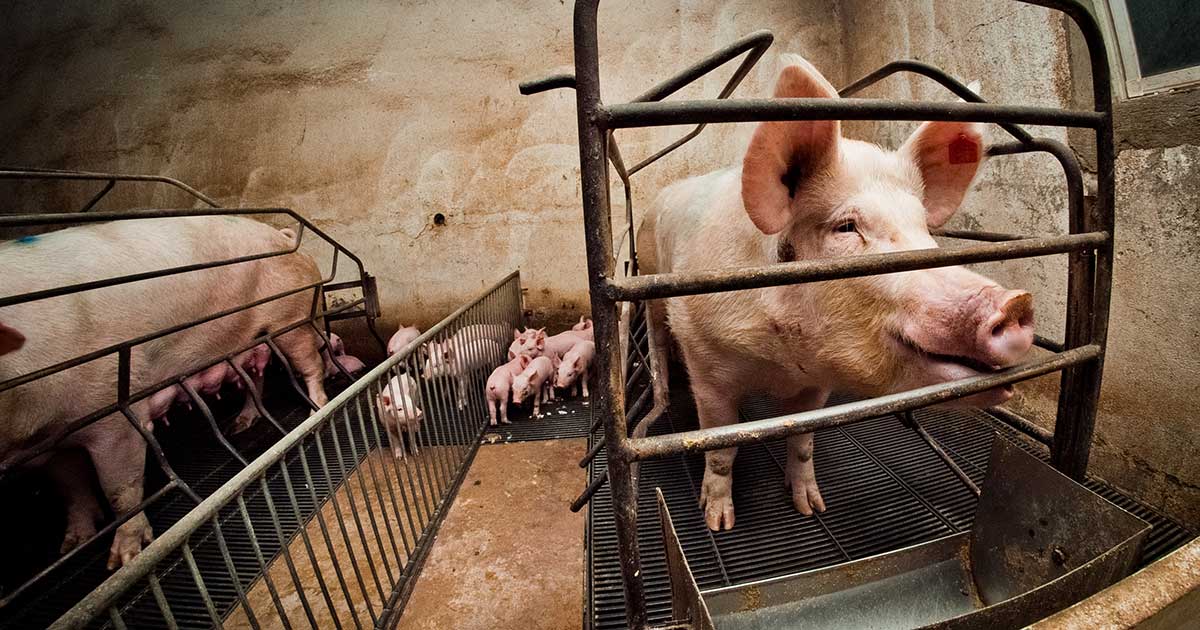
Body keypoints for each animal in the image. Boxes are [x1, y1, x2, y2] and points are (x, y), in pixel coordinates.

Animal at [0, 216, 330, 568]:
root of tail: (283, 235)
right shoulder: (53, 442)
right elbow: (72, 487)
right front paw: (74, 545)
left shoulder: (113, 412)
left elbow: (121, 491)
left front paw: (124, 560)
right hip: (251, 339)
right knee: (256, 378)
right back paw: (237, 426)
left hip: (292, 318)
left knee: (310, 365)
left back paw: (314, 411)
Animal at [633, 55, 1034, 531]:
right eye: (846, 227)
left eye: (924, 228)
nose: (1015, 302)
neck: (779, 362)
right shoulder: (707, 364)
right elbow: (722, 449)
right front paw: (718, 522)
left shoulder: (817, 385)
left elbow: (803, 441)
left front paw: (812, 507)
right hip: (651, 282)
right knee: (657, 337)